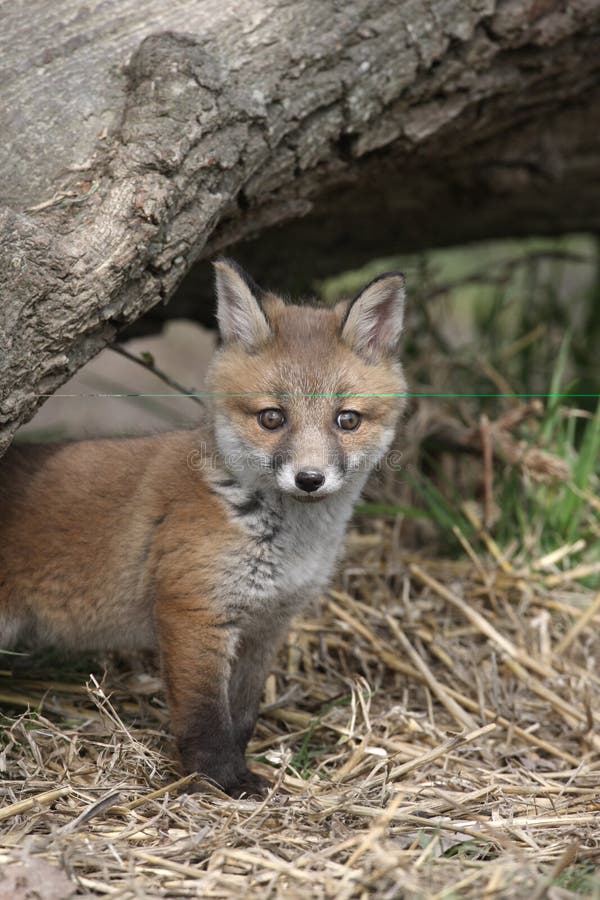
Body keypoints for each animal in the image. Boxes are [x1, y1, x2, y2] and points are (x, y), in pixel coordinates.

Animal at [0, 260, 407, 797]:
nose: (309, 479)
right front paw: (222, 780)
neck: (287, 545)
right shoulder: (193, 610)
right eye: (272, 418)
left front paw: (237, 763)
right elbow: (204, 717)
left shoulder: (267, 624)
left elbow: (242, 713)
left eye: (347, 420)